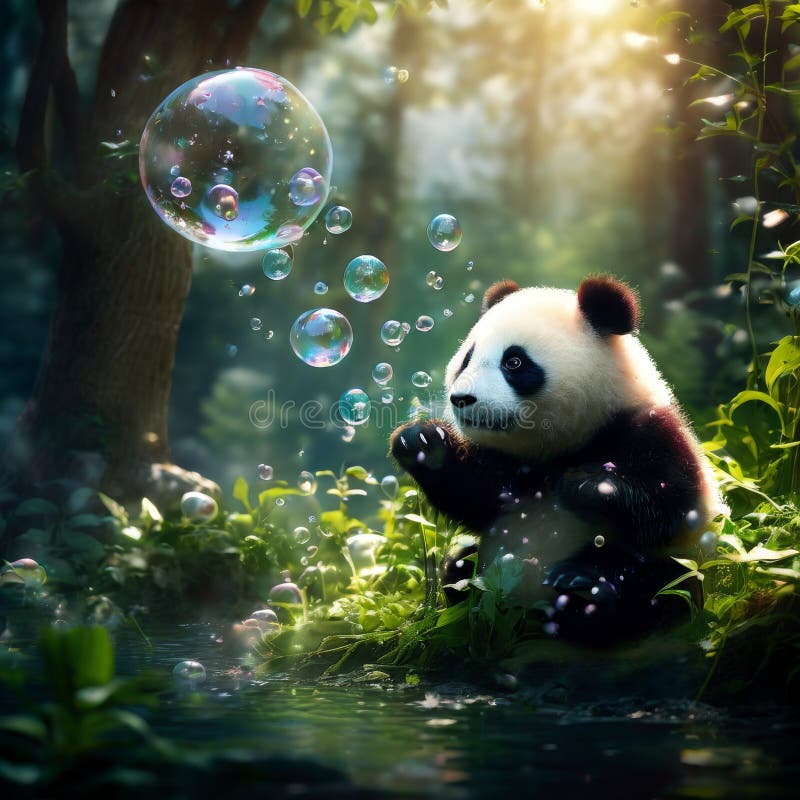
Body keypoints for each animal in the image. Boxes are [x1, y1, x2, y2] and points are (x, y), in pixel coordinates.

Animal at [390, 275, 723, 644]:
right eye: (467, 359)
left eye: (514, 362)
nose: (461, 398)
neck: (562, 445)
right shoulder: (511, 465)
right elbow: (474, 496)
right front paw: (422, 442)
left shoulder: (649, 431)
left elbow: (673, 505)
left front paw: (585, 486)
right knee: (459, 567)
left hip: (680, 573)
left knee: (654, 587)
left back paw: (586, 589)